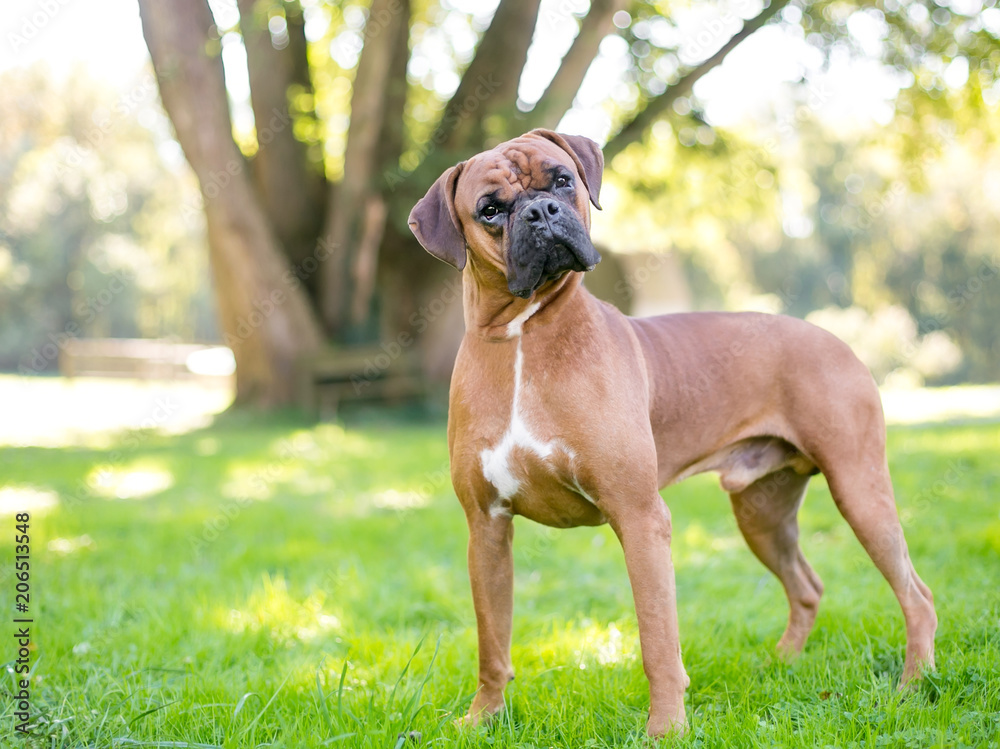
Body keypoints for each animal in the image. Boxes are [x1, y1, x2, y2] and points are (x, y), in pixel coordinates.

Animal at [407, 129, 937, 737]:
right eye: (490, 210)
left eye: (561, 179)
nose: (541, 211)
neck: (524, 335)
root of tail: (834, 338)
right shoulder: (487, 529)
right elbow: (492, 642)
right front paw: (482, 719)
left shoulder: (639, 519)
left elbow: (658, 640)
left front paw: (666, 729)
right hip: (763, 514)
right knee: (807, 587)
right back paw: (781, 665)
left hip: (859, 491)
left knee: (917, 595)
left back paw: (913, 684)